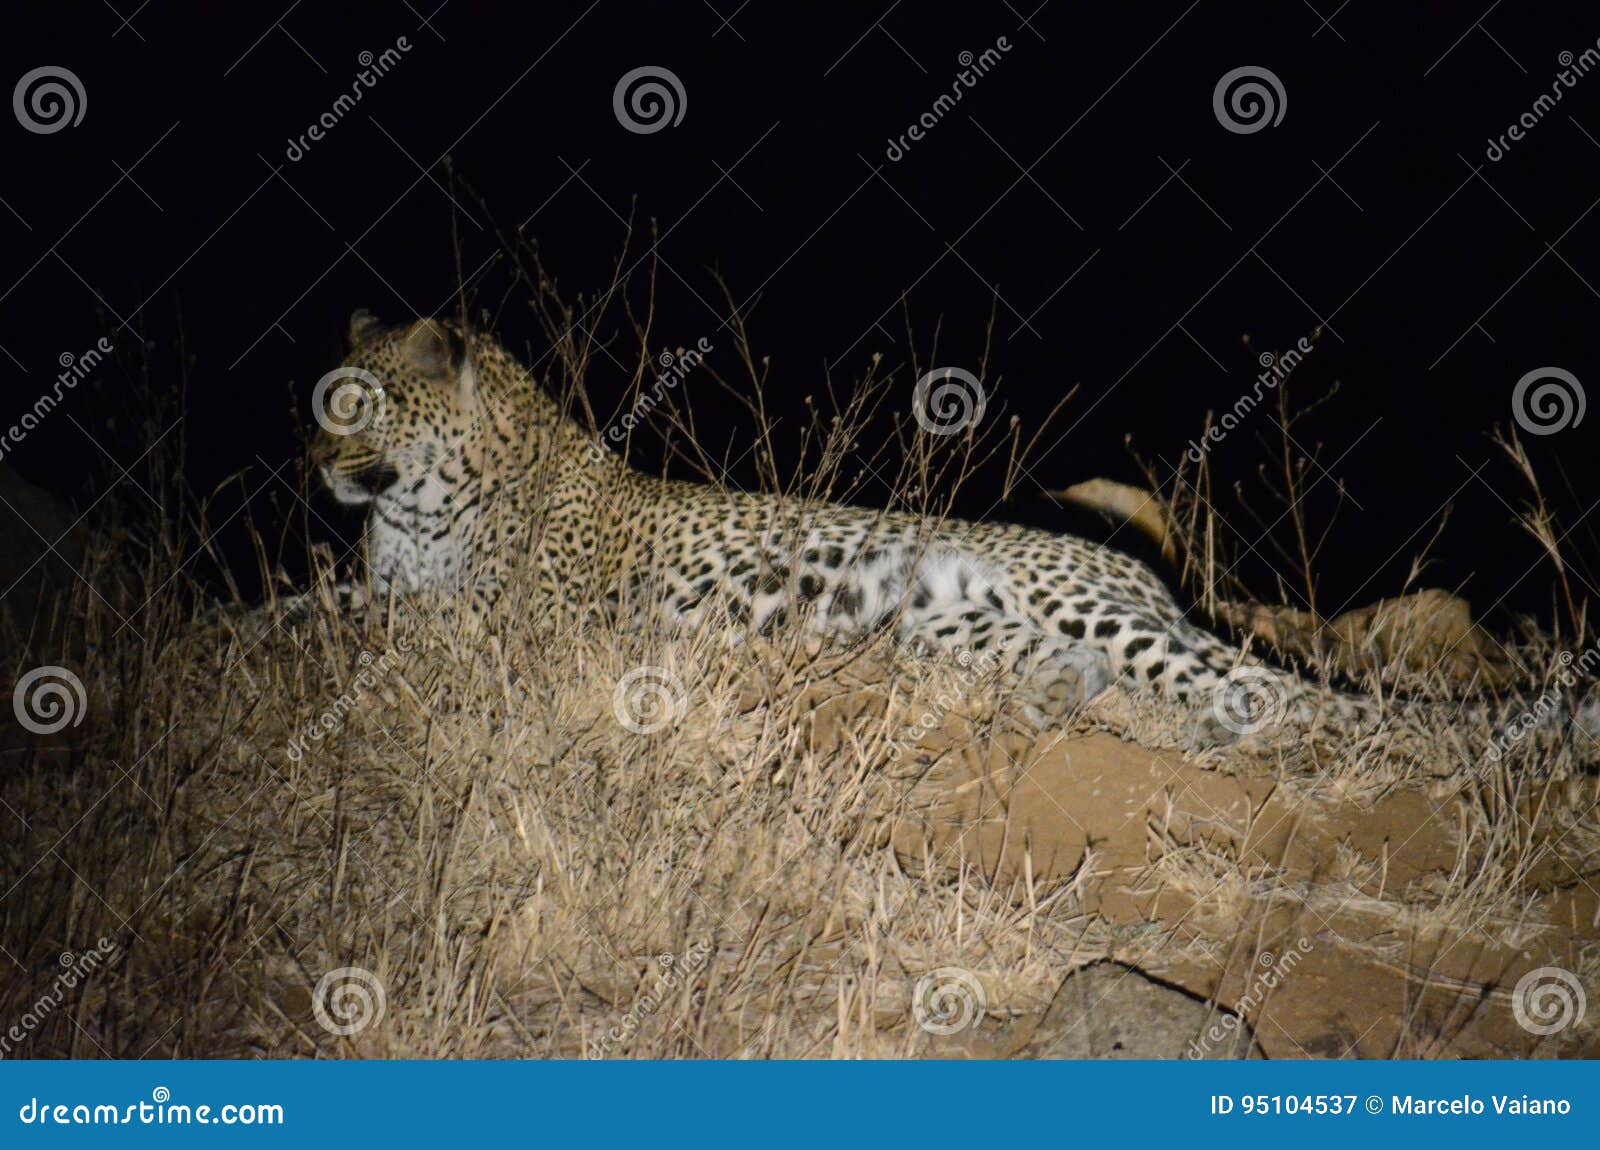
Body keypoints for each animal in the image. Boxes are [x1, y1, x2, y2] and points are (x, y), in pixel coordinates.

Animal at [307, 311, 1600, 761]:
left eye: (355, 405)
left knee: (1266, 693)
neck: (419, 505)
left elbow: (313, 613)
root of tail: (1145, 574)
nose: (316, 460)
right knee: (1114, 680)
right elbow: (325, 600)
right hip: (946, 633)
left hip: (1092, 606)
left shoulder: (483, 614)